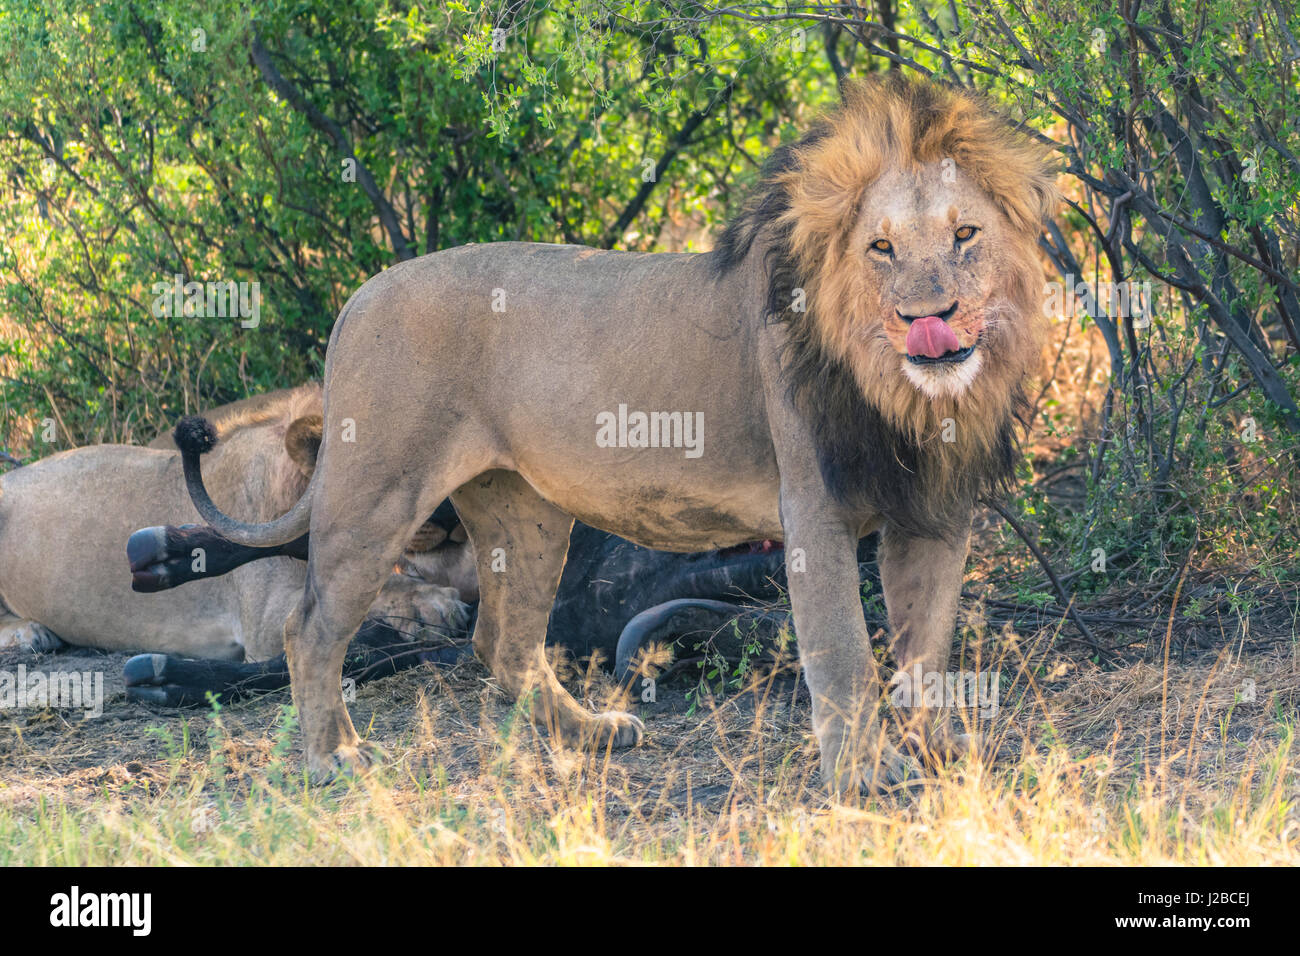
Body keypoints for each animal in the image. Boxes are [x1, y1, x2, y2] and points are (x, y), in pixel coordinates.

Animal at [174, 75, 1056, 792]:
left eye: (966, 235)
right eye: (881, 248)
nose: (927, 318)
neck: (910, 398)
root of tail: (355, 299)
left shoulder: (934, 516)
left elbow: (926, 646)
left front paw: (939, 751)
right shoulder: (816, 509)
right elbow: (843, 653)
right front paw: (866, 776)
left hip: (525, 512)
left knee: (500, 642)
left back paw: (593, 734)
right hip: (376, 493)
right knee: (311, 626)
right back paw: (334, 757)